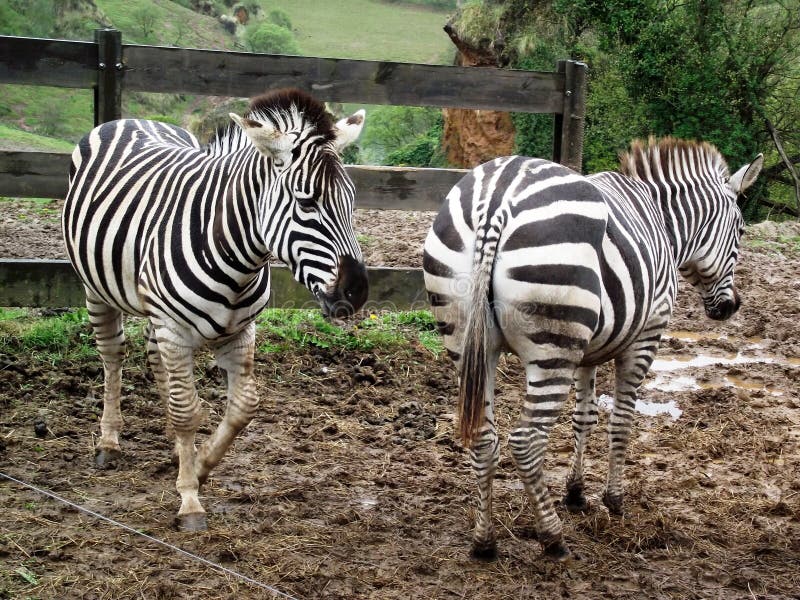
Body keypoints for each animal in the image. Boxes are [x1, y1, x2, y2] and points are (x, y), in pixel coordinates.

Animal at [62, 88, 368, 531]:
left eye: (352, 201)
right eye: (307, 202)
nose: (357, 292)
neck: (239, 258)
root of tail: (128, 119)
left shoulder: (240, 330)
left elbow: (242, 408)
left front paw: (201, 464)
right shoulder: (173, 327)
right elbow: (187, 410)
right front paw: (190, 498)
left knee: (153, 359)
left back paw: (176, 450)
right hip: (97, 289)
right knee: (113, 356)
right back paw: (109, 441)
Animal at [423, 138, 762, 559]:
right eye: (742, 230)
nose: (730, 308)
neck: (665, 223)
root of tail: (498, 197)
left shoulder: (590, 348)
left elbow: (583, 418)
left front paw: (575, 492)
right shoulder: (645, 335)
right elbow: (621, 420)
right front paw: (614, 500)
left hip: (466, 338)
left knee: (485, 437)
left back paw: (485, 542)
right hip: (553, 347)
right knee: (526, 440)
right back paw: (552, 538)